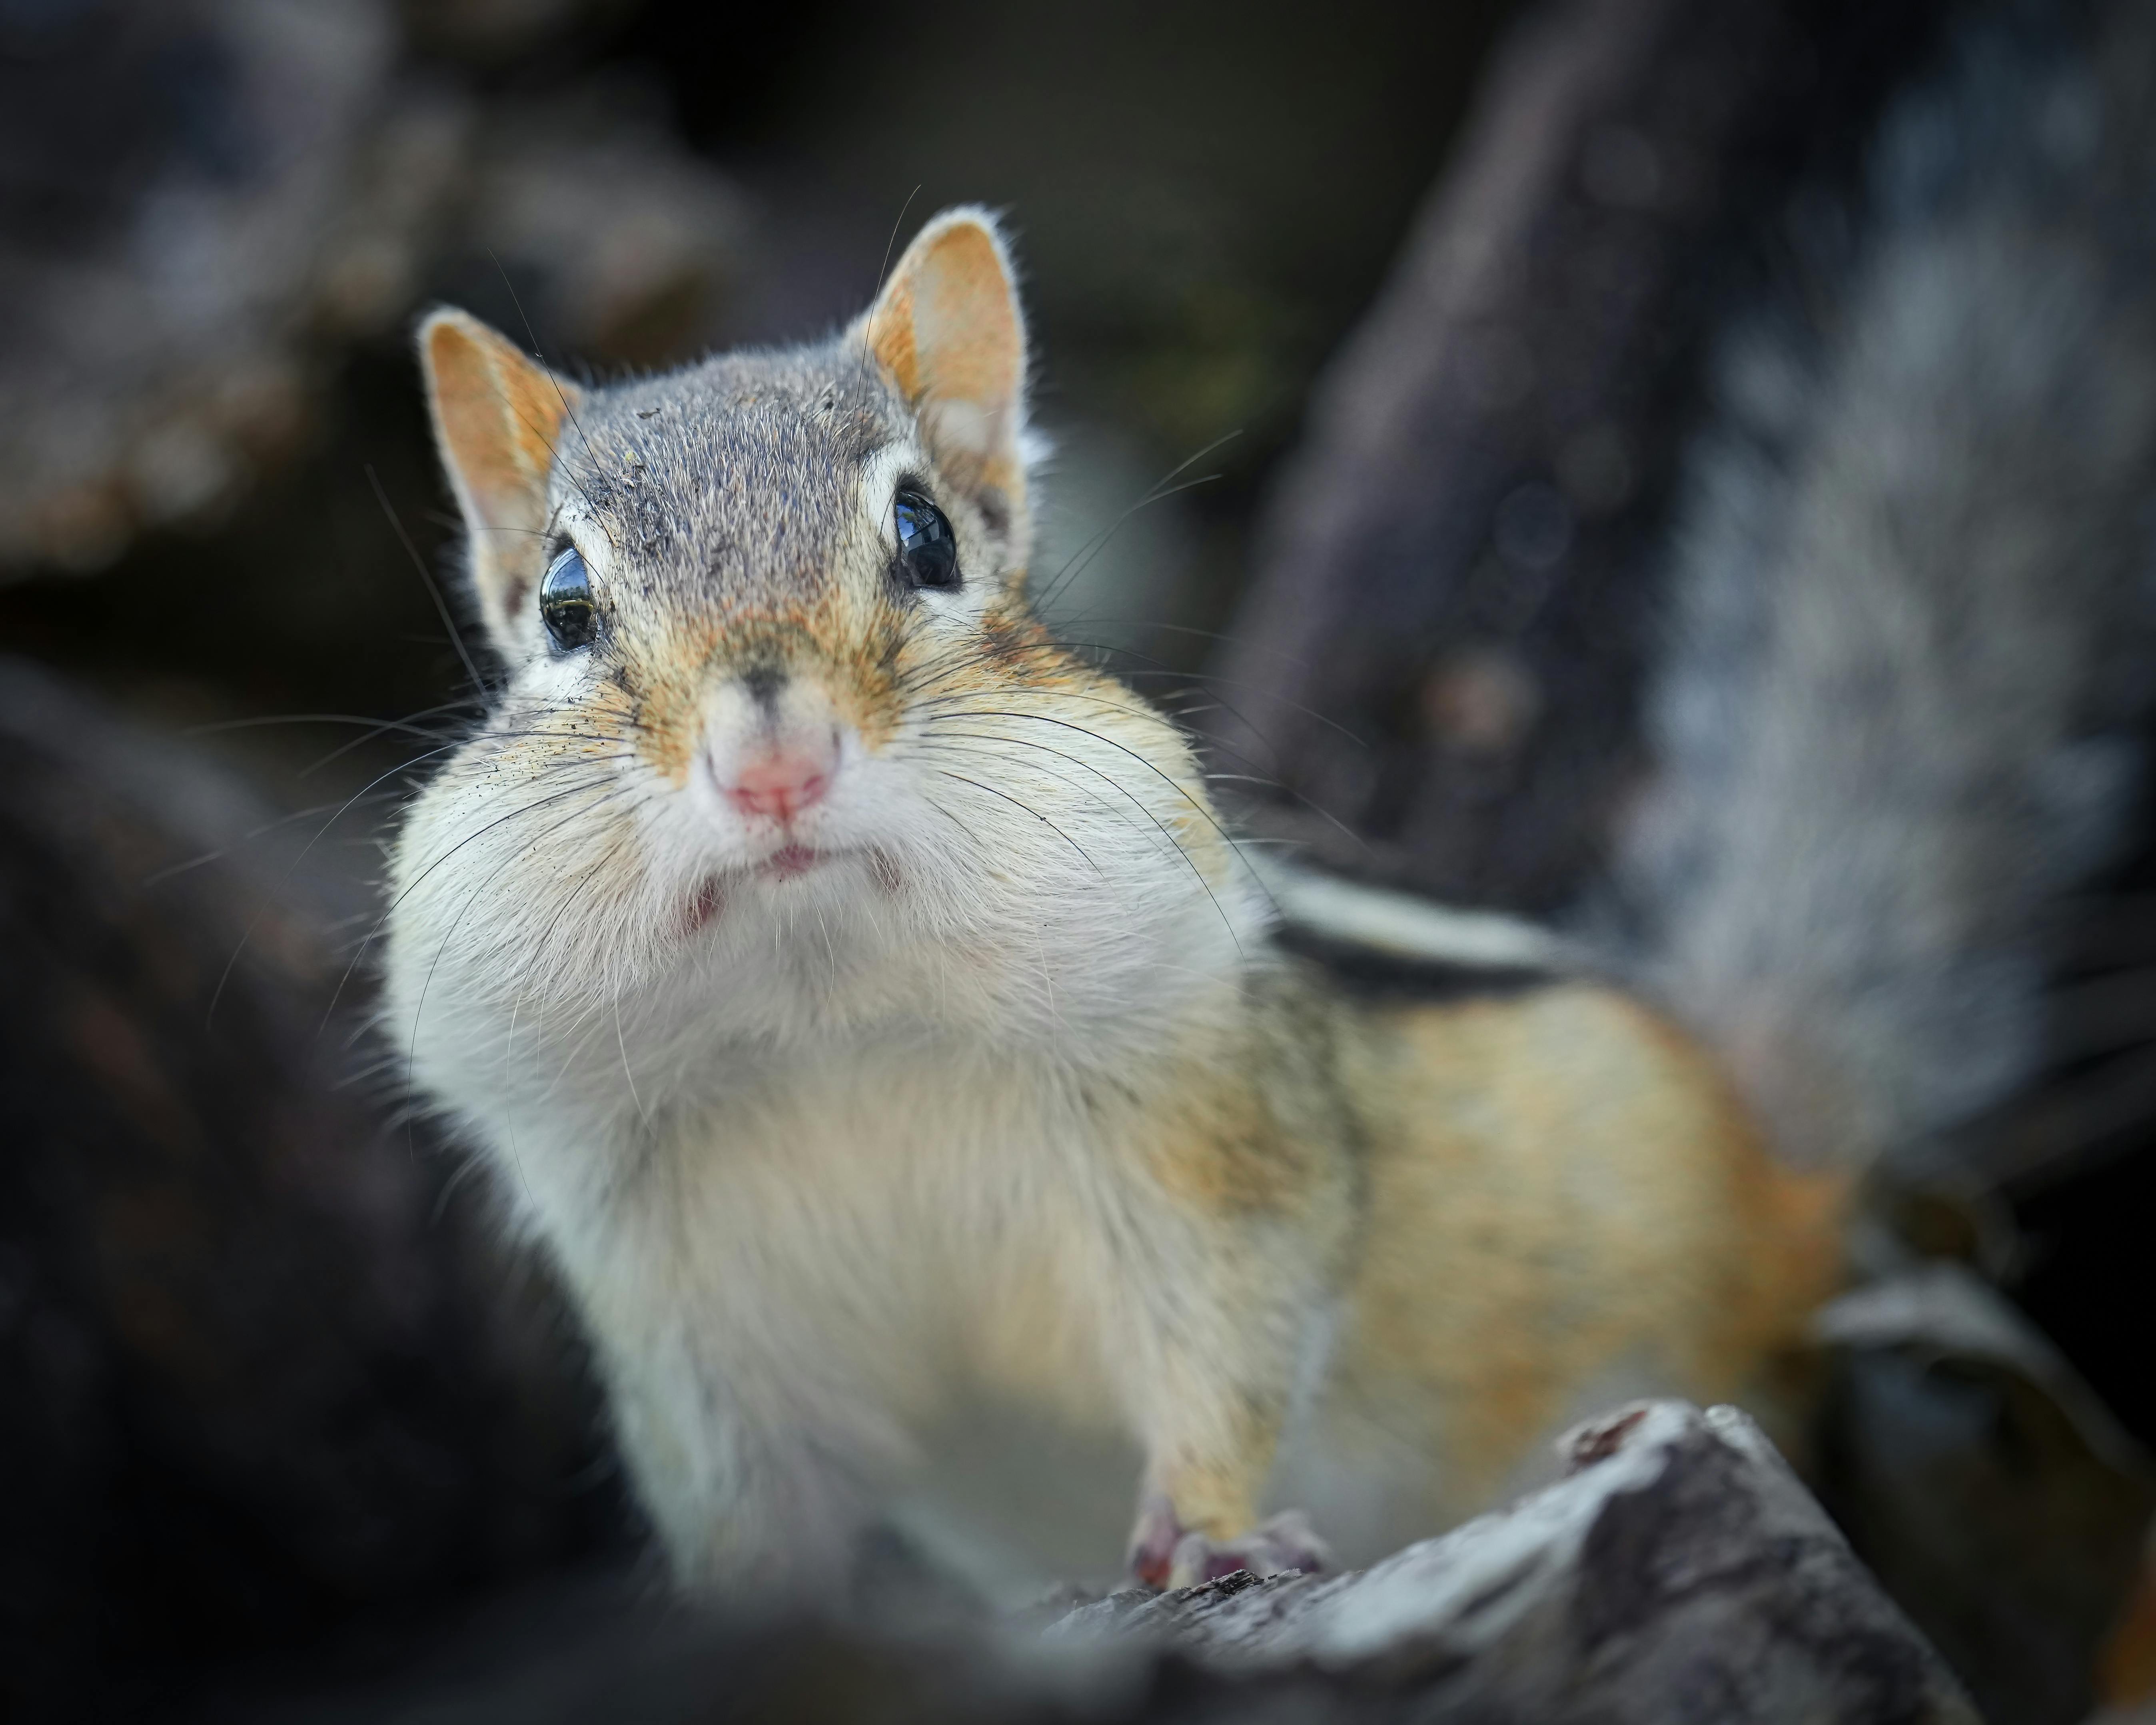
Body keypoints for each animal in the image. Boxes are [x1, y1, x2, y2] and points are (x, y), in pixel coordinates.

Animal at [386, 148, 2156, 1593]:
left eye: (925, 537)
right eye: (564, 602)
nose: (773, 765)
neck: (823, 1000)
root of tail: (1774, 1148)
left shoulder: (1206, 1124)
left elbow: (1224, 1344)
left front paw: (1213, 1532)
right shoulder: (672, 1307)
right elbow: (747, 1520)